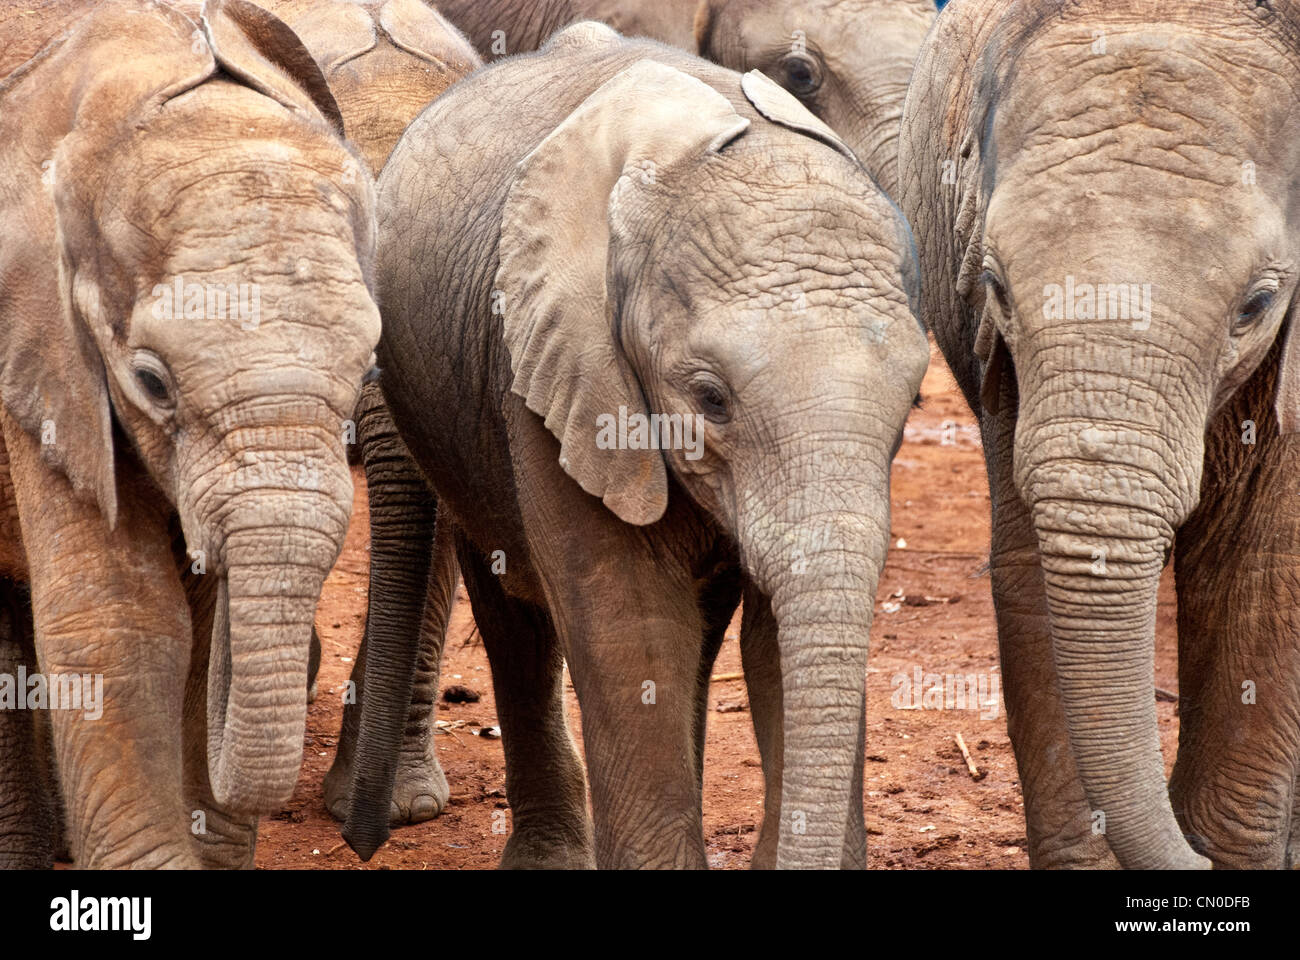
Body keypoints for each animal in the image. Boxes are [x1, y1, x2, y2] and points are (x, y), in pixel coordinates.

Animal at [341, 21, 929, 869]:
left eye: (912, 402)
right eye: (711, 398)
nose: (361, 843)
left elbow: (773, 643)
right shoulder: (550, 367)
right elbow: (633, 635)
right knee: (514, 608)